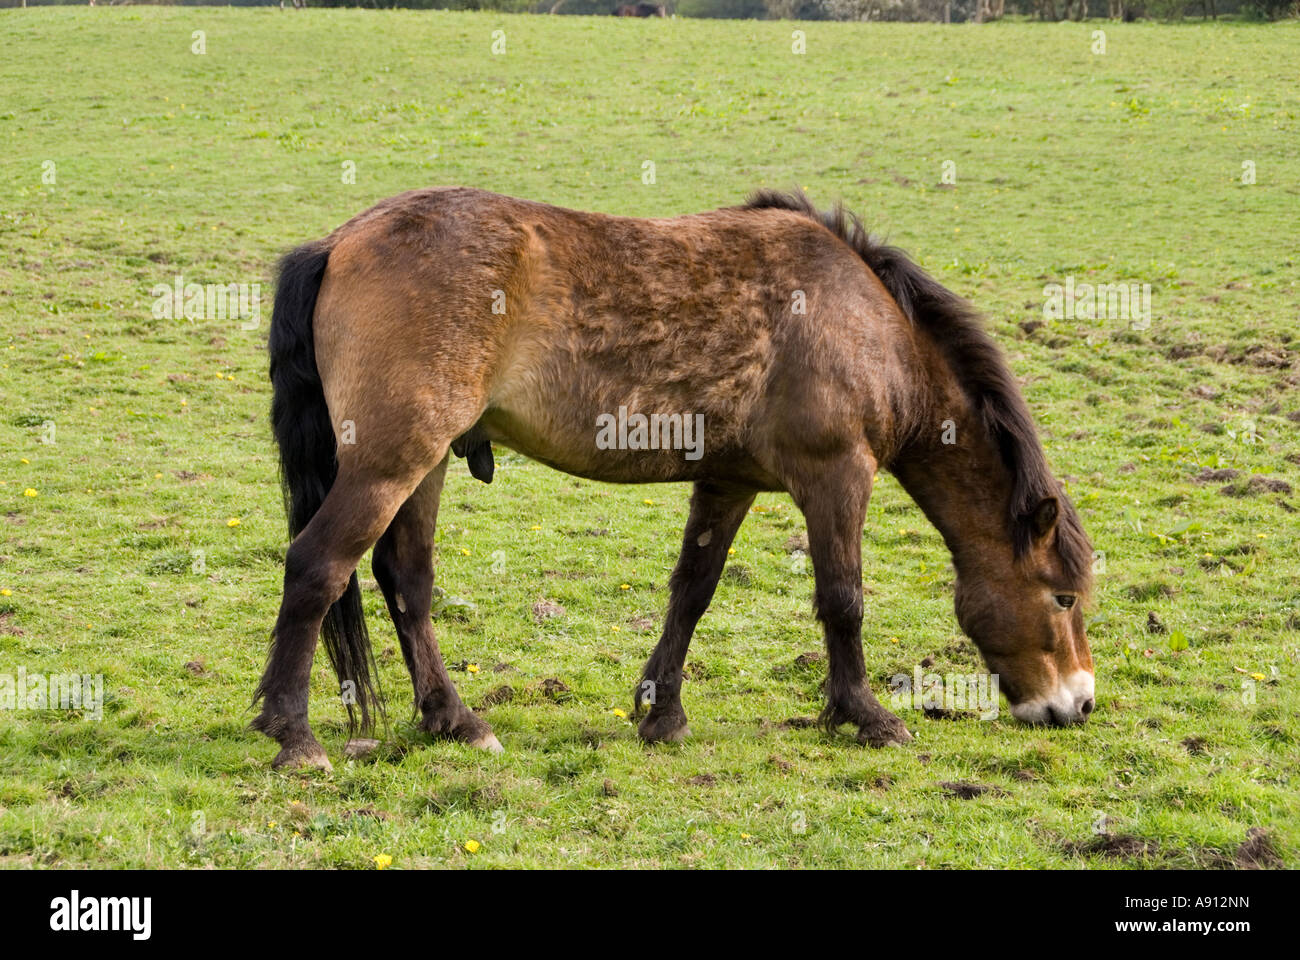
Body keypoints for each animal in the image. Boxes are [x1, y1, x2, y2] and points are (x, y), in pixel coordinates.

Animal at [253, 187, 1095, 771]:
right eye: (1063, 598)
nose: (1078, 705)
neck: (866, 322)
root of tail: (340, 241)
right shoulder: (836, 475)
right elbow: (843, 601)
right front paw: (866, 715)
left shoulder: (729, 482)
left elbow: (693, 591)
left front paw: (662, 712)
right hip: (391, 461)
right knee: (317, 567)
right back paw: (294, 735)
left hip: (424, 464)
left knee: (407, 583)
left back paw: (453, 719)